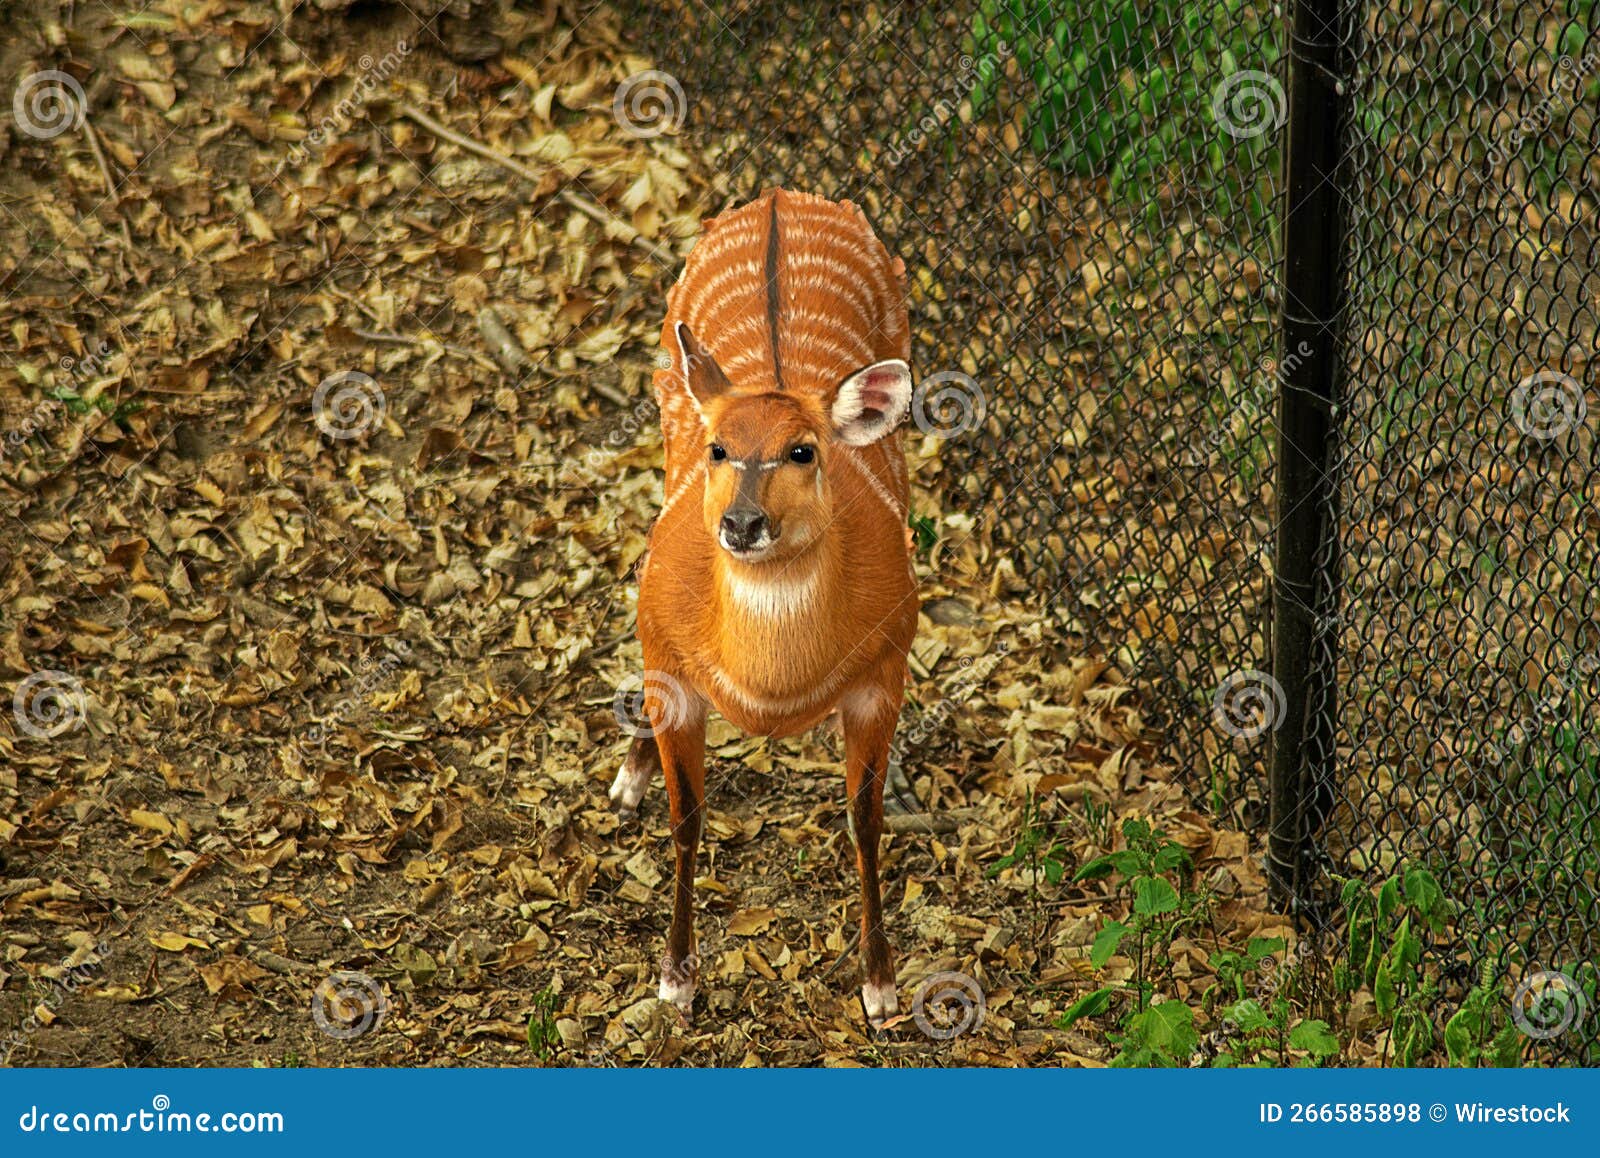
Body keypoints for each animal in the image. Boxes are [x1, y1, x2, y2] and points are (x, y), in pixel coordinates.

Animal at [609, 189, 918, 1027]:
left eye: (804, 450)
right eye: (720, 447)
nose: (742, 523)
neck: (772, 688)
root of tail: (782, 196)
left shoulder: (884, 673)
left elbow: (864, 818)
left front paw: (880, 988)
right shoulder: (675, 671)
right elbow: (686, 817)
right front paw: (676, 981)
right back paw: (630, 774)